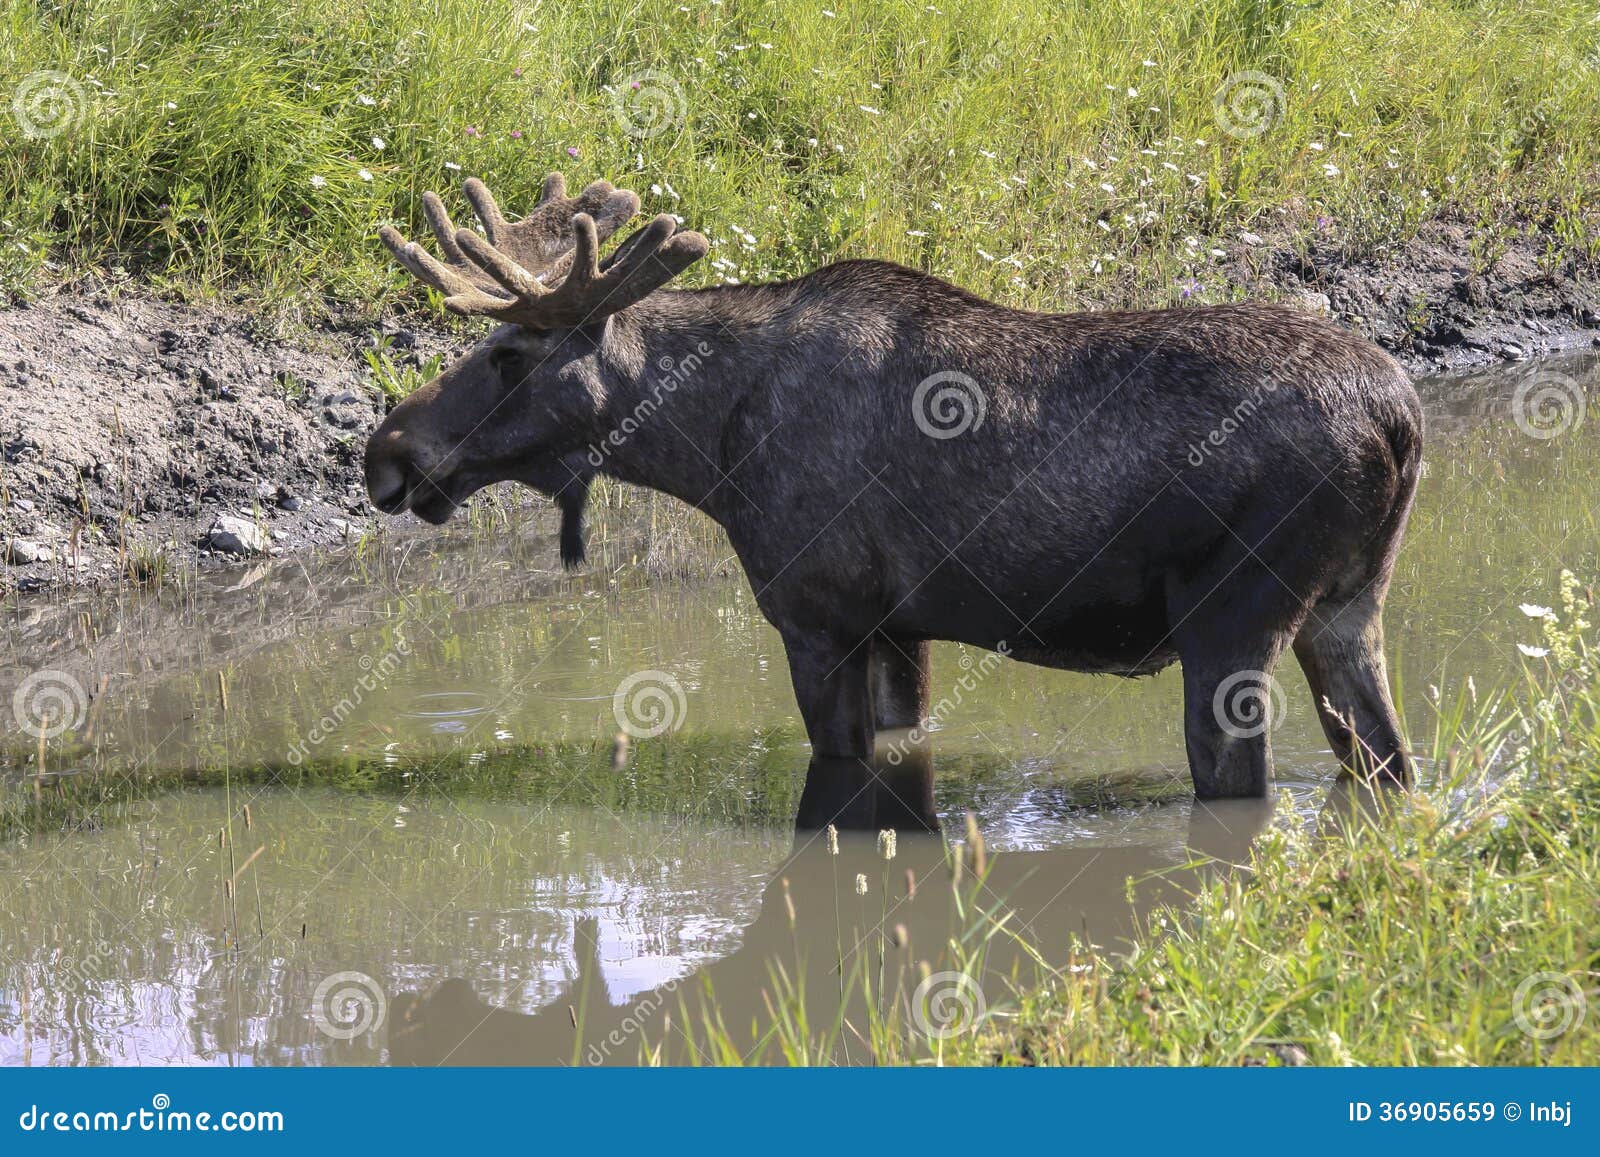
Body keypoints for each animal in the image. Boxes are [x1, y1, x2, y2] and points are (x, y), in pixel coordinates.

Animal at [364, 172, 1423, 828]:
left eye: (509, 354)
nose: (386, 452)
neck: (708, 452)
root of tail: (1402, 417)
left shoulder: (818, 616)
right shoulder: (899, 627)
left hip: (1231, 619)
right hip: (1347, 607)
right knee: (1388, 761)